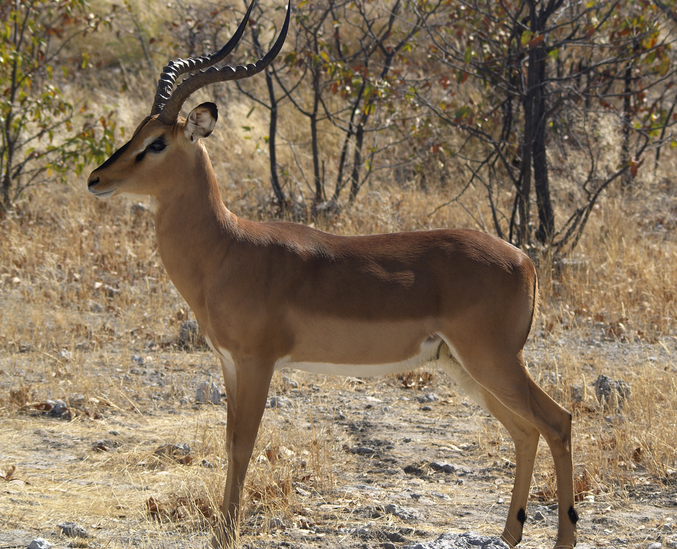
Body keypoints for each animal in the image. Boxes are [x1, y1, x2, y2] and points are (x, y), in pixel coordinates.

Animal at [86, 2, 578, 547]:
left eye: (156, 143)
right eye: (136, 130)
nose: (96, 178)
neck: (226, 249)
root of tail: (525, 260)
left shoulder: (258, 362)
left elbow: (243, 443)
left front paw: (227, 533)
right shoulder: (230, 363)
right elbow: (229, 438)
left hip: (492, 359)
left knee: (557, 420)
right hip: (463, 365)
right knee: (526, 430)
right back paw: (509, 534)